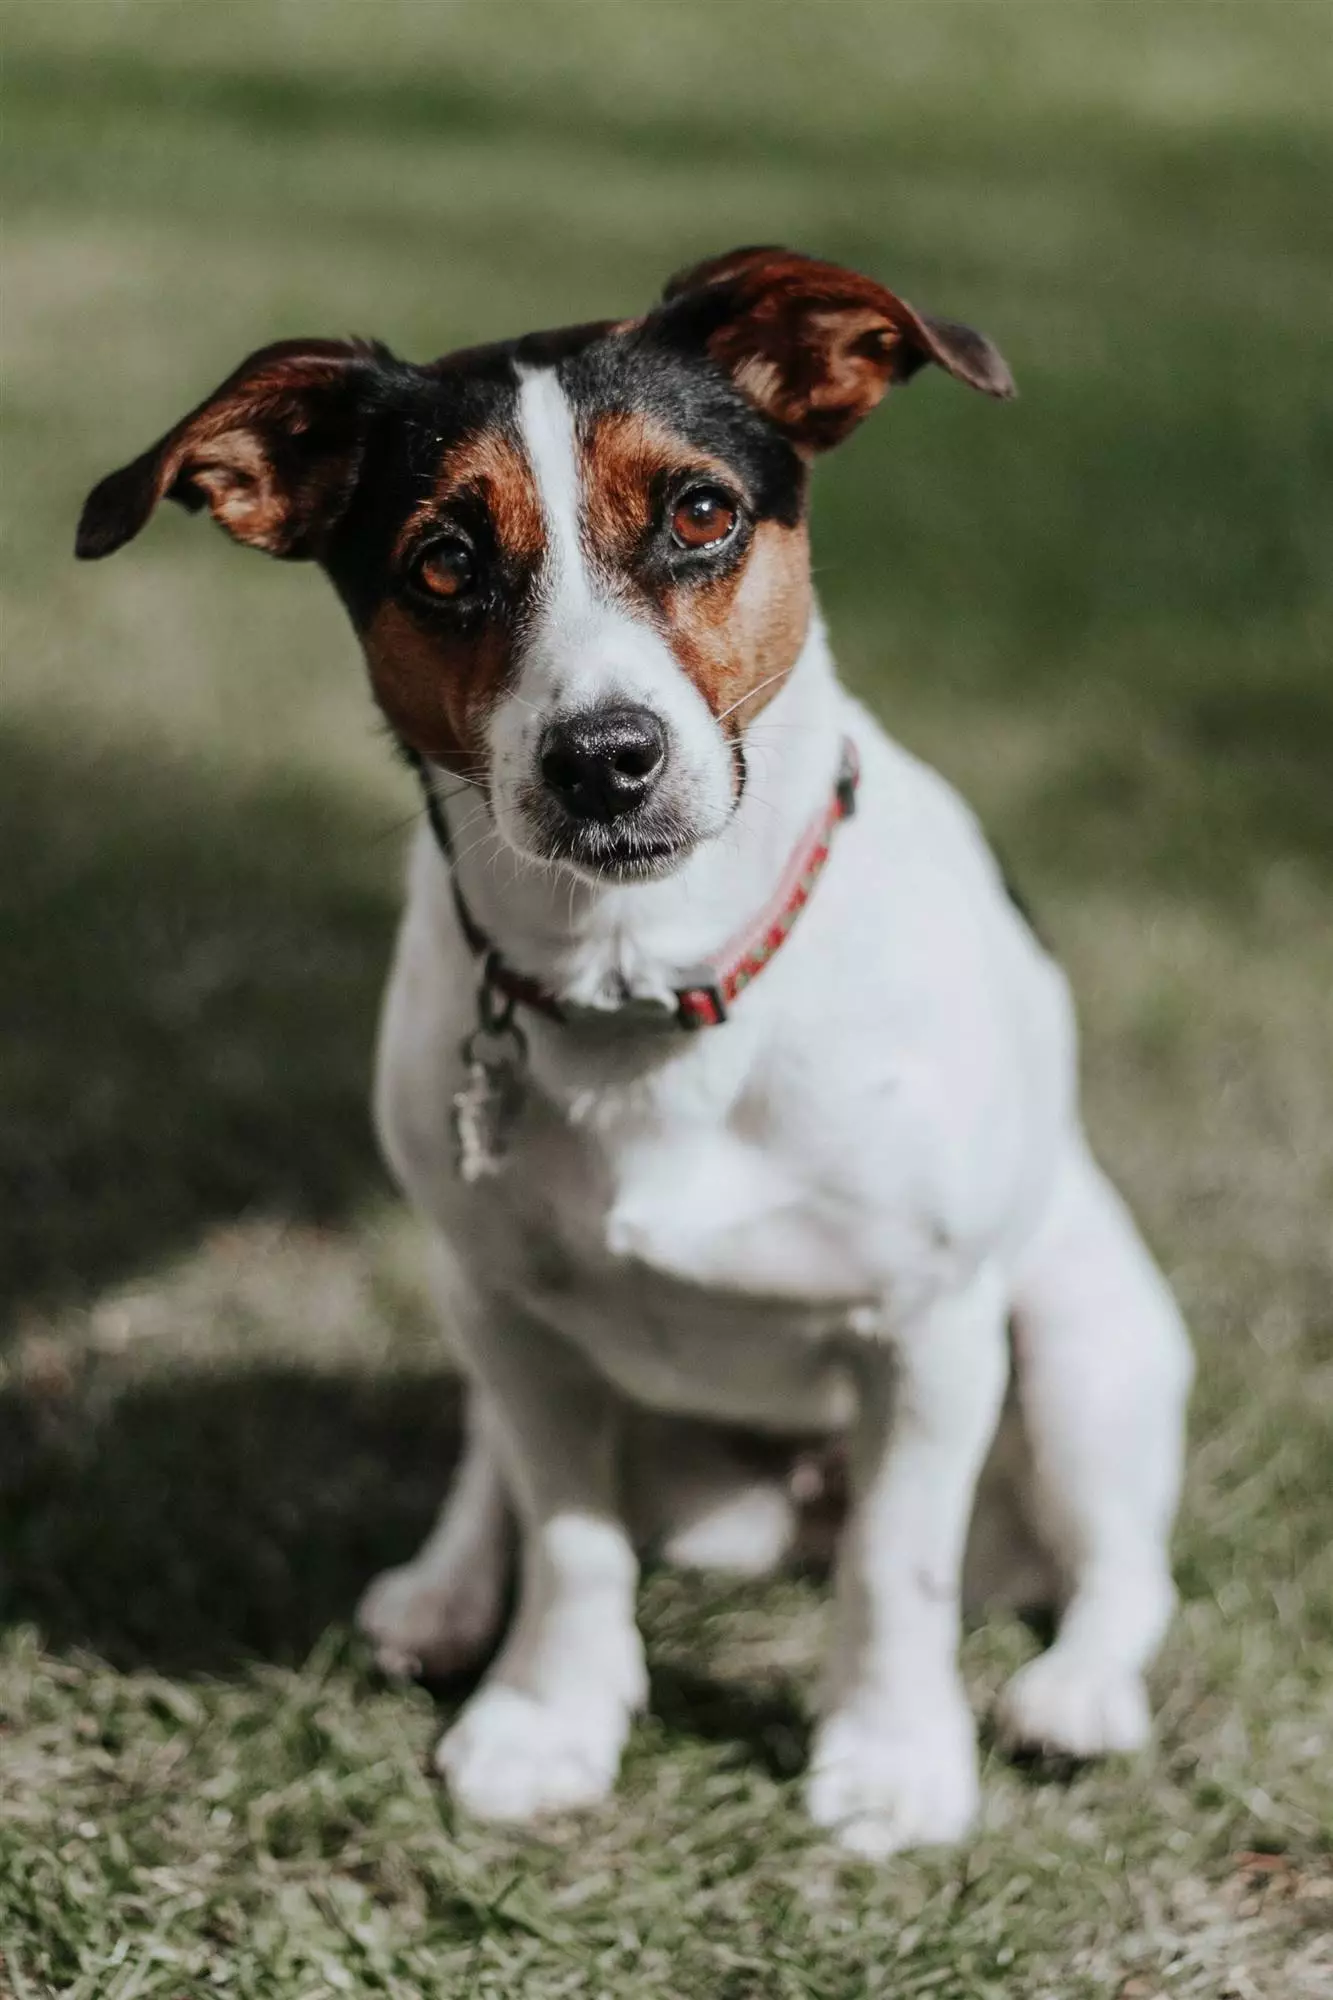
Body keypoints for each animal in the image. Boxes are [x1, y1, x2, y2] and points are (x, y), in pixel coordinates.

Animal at [78, 250, 1184, 1856]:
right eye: (442, 560)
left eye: (702, 512)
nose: (602, 759)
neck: (643, 990)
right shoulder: (522, 1325)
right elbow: (570, 1538)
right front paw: (547, 1722)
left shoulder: (929, 1333)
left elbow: (896, 1567)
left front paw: (893, 1759)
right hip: (486, 1313)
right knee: (496, 1476)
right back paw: (445, 1588)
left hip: (1085, 1340)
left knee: (1116, 1566)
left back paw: (1076, 1695)